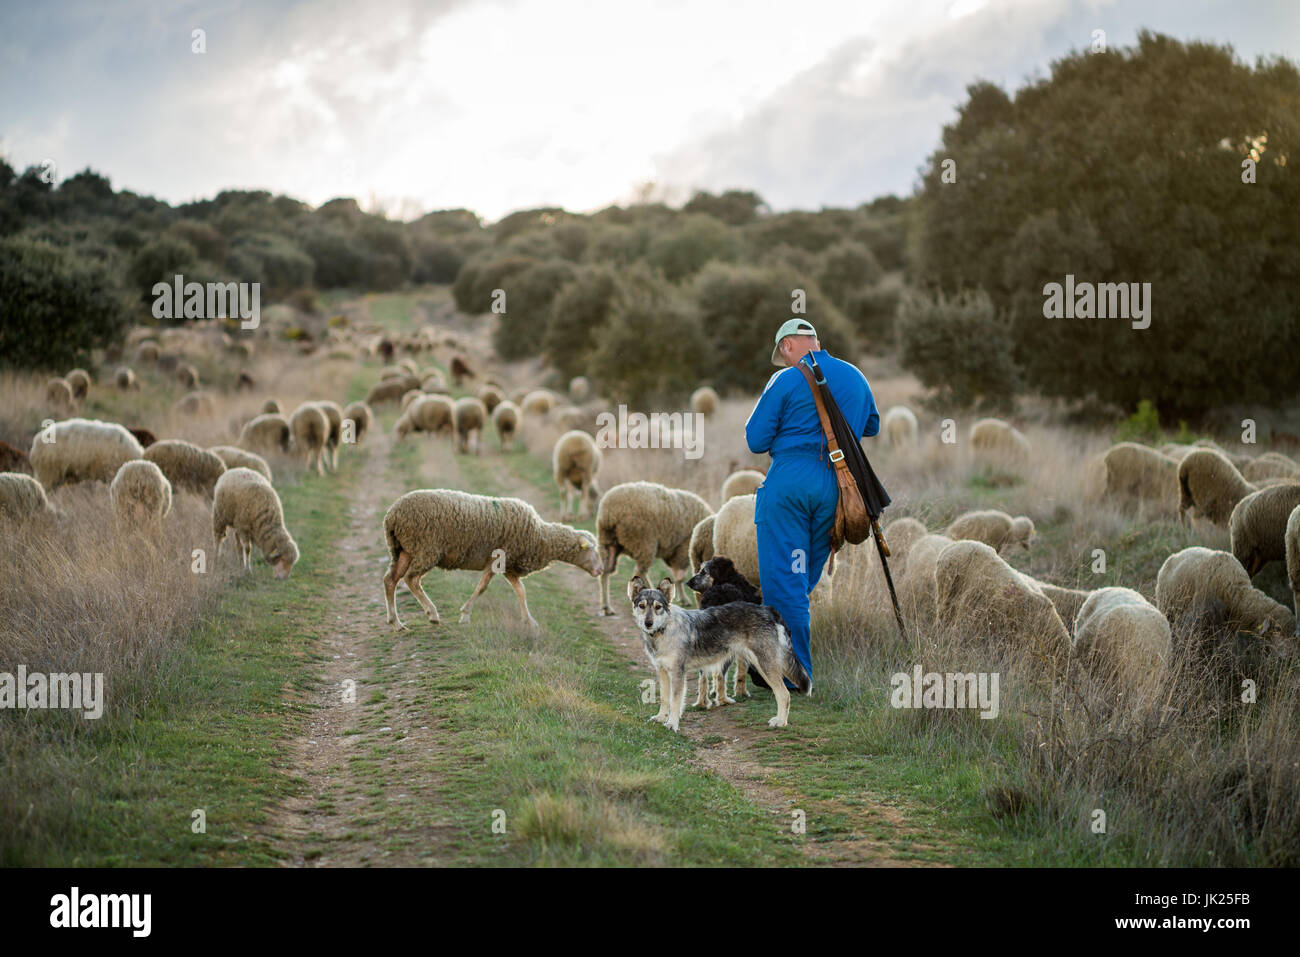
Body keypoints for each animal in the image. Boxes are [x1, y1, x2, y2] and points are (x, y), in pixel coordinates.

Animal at [381, 488, 602, 630]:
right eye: (593, 551)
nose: (600, 570)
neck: (541, 537)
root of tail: (392, 515)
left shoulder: (509, 567)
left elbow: (521, 591)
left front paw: (529, 621)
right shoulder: (498, 560)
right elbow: (482, 588)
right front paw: (465, 615)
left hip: (404, 550)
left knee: (390, 580)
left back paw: (396, 623)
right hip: (426, 548)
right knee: (411, 579)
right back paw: (432, 614)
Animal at [596, 481, 714, 616]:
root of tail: (610, 513)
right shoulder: (683, 549)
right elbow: (680, 576)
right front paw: (684, 598)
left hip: (608, 542)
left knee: (605, 572)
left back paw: (607, 607)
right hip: (644, 541)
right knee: (640, 572)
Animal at [1155, 547, 1295, 655]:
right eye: (1277, 629)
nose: (1290, 656)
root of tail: (1174, 555)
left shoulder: (1228, 628)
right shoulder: (1196, 619)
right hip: (1168, 610)